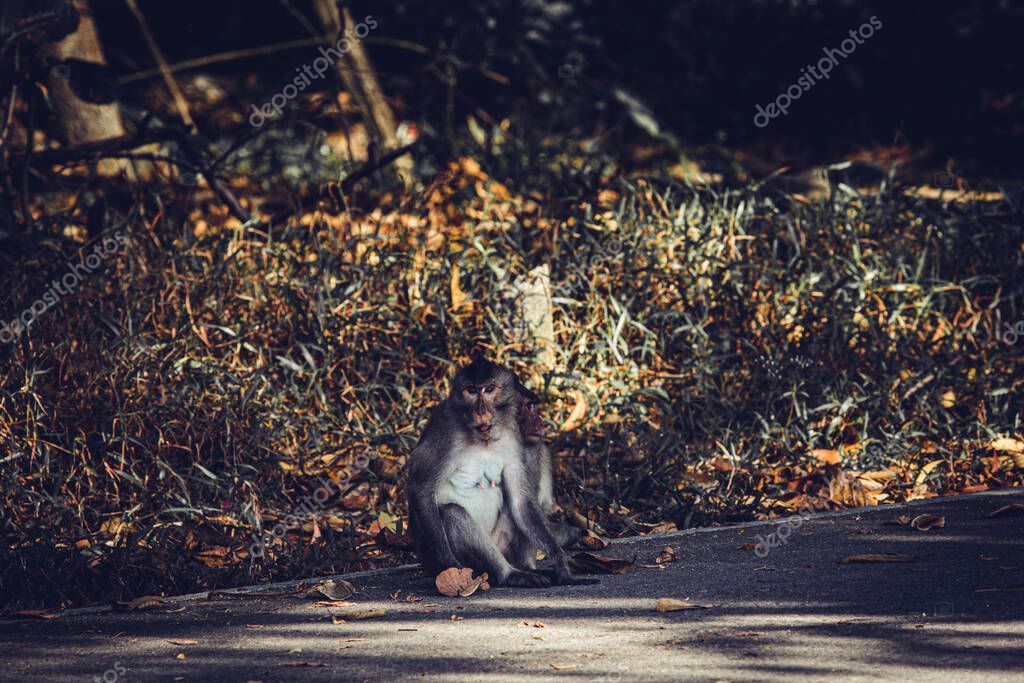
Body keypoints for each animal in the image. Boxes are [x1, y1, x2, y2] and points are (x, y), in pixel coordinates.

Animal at [407, 356, 592, 587]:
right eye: (471, 390)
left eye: (488, 389)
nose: (481, 410)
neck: (482, 439)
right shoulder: (444, 431)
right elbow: (421, 488)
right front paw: (448, 564)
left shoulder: (512, 438)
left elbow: (521, 502)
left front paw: (561, 564)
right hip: (474, 566)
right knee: (453, 513)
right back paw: (509, 574)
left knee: (515, 507)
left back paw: (528, 568)